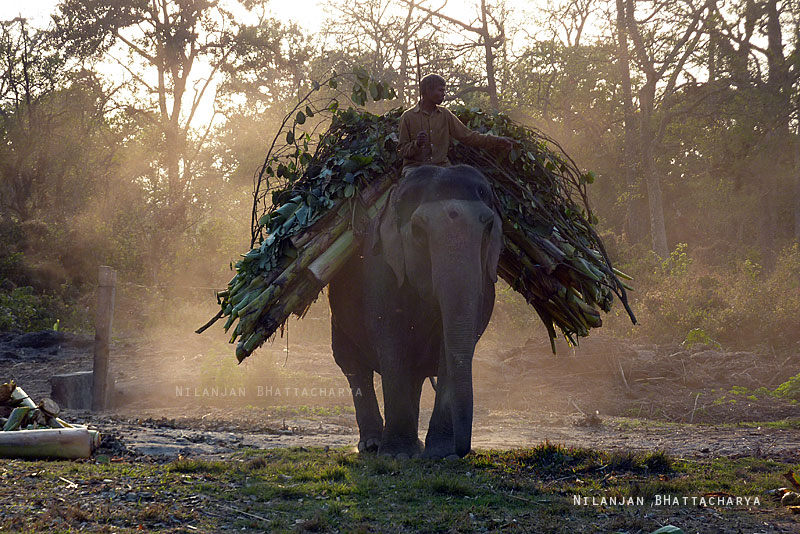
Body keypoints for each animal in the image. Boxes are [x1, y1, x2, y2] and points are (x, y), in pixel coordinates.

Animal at [327, 164, 503, 459]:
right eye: (419, 231)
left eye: (488, 227)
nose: (463, 451)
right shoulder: (380, 269)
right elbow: (390, 341)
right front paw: (397, 455)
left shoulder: (485, 283)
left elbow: (455, 343)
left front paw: (440, 452)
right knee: (352, 365)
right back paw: (371, 445)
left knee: (415, 376)